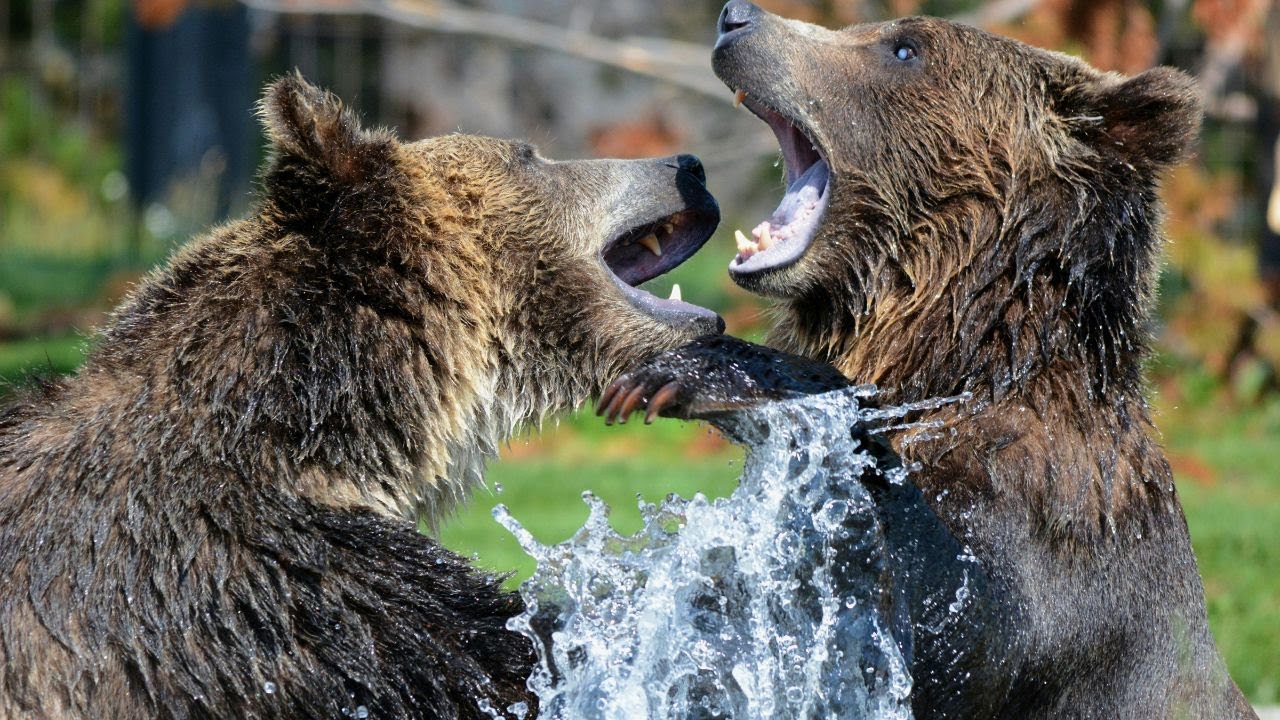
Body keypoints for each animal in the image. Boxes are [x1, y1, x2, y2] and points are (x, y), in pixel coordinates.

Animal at [600, 3, 1257, 718]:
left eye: (903, 49)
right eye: (869, 30)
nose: (737, 18)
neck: (962, 357)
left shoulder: (1052, 534)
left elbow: (955, 610)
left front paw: (688, 375)